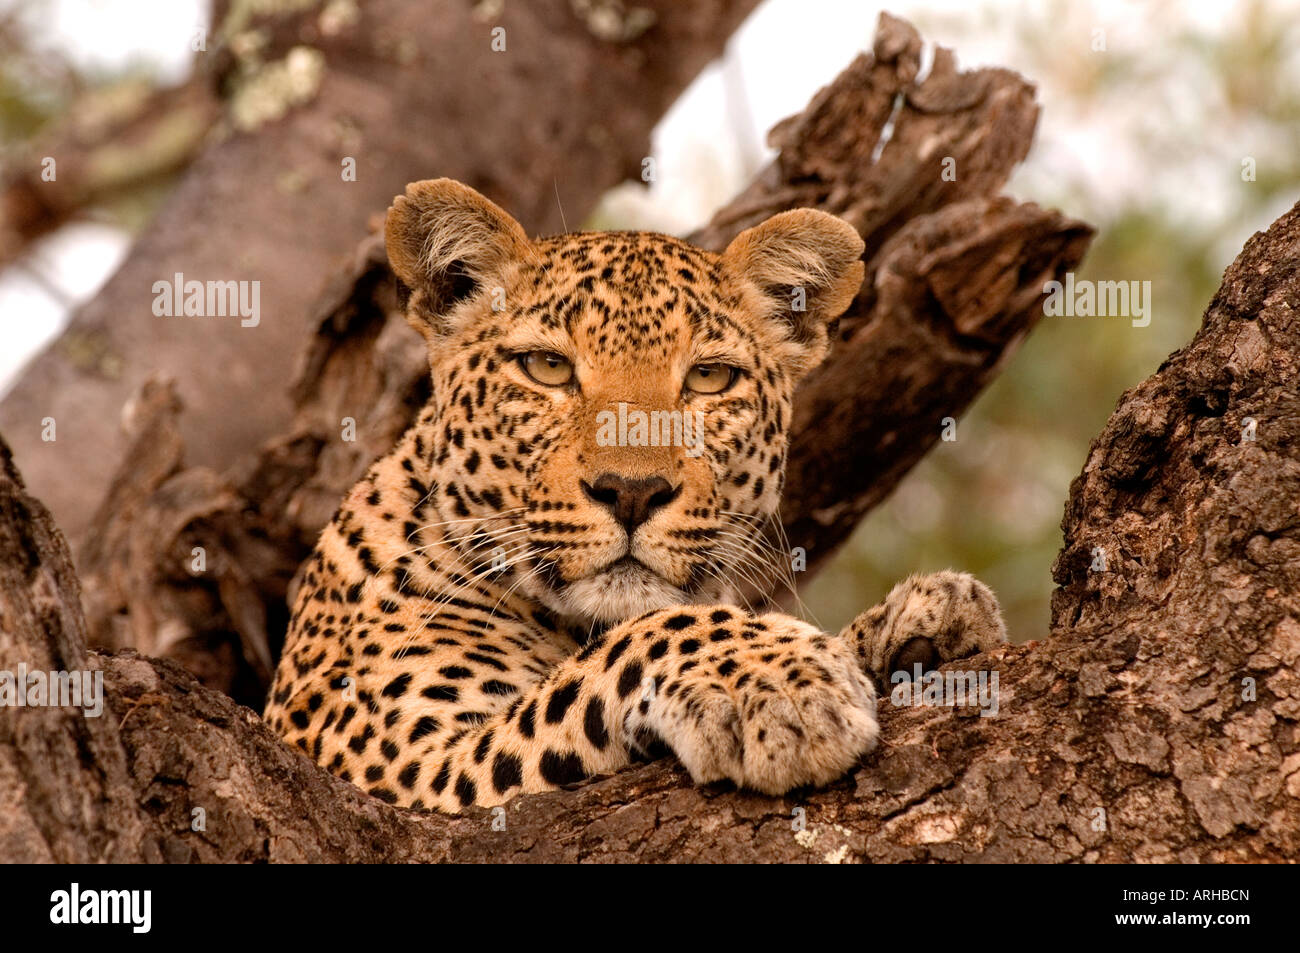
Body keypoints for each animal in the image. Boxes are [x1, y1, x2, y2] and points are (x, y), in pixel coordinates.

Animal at [263, 178, 1007, 812]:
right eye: (547, 367)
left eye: (709, 378)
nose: (631, 492)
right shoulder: (402, 763)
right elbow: (628, 643)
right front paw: (779, 680)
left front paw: (919, 618)